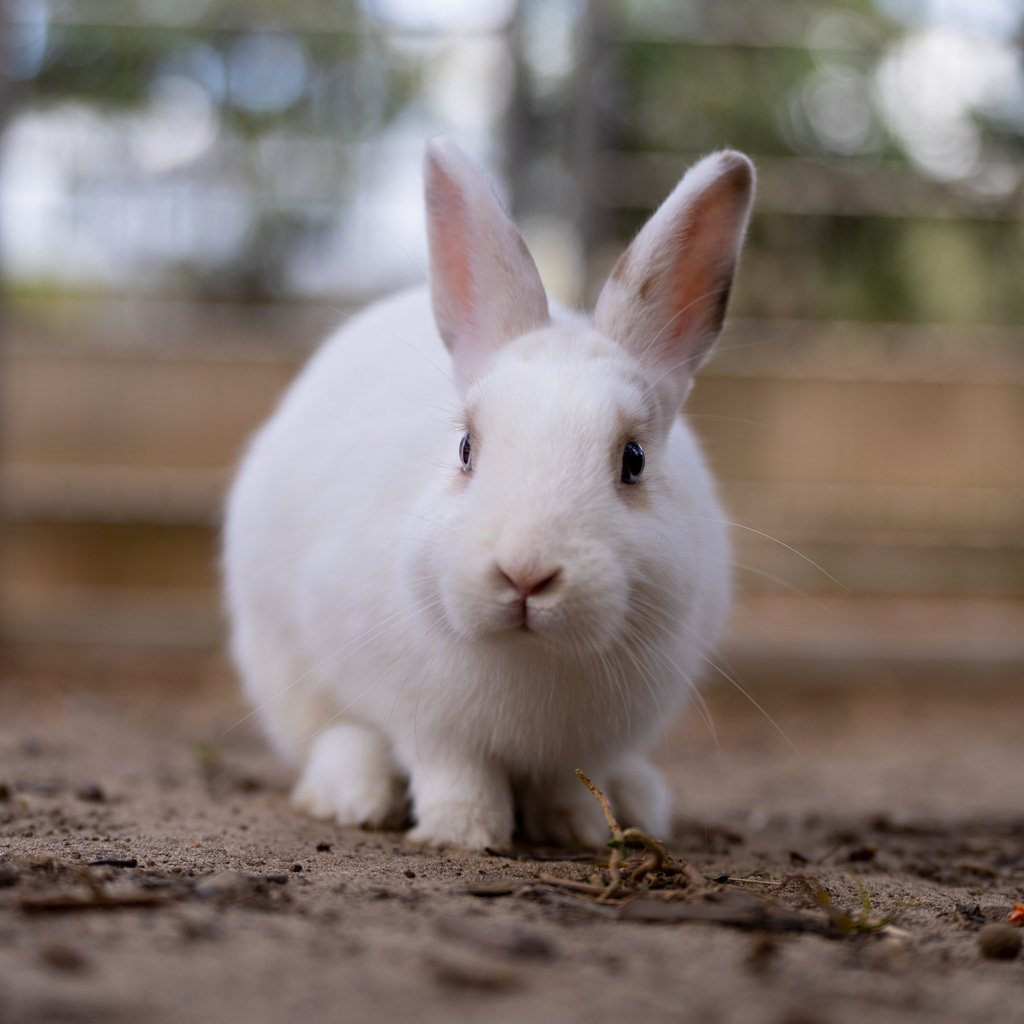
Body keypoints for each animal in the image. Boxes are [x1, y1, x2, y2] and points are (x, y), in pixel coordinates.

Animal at [222, 136, 755, 851]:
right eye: (466, 449)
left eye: (634, 460)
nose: (526, 573)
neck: (529, 656)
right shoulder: (427, 723)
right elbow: (455, 772)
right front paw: (463, 833)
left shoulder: (580, 748)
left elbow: (566, 781)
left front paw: (577, 829)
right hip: (279, 657)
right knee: (330, 736)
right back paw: (354, 796)